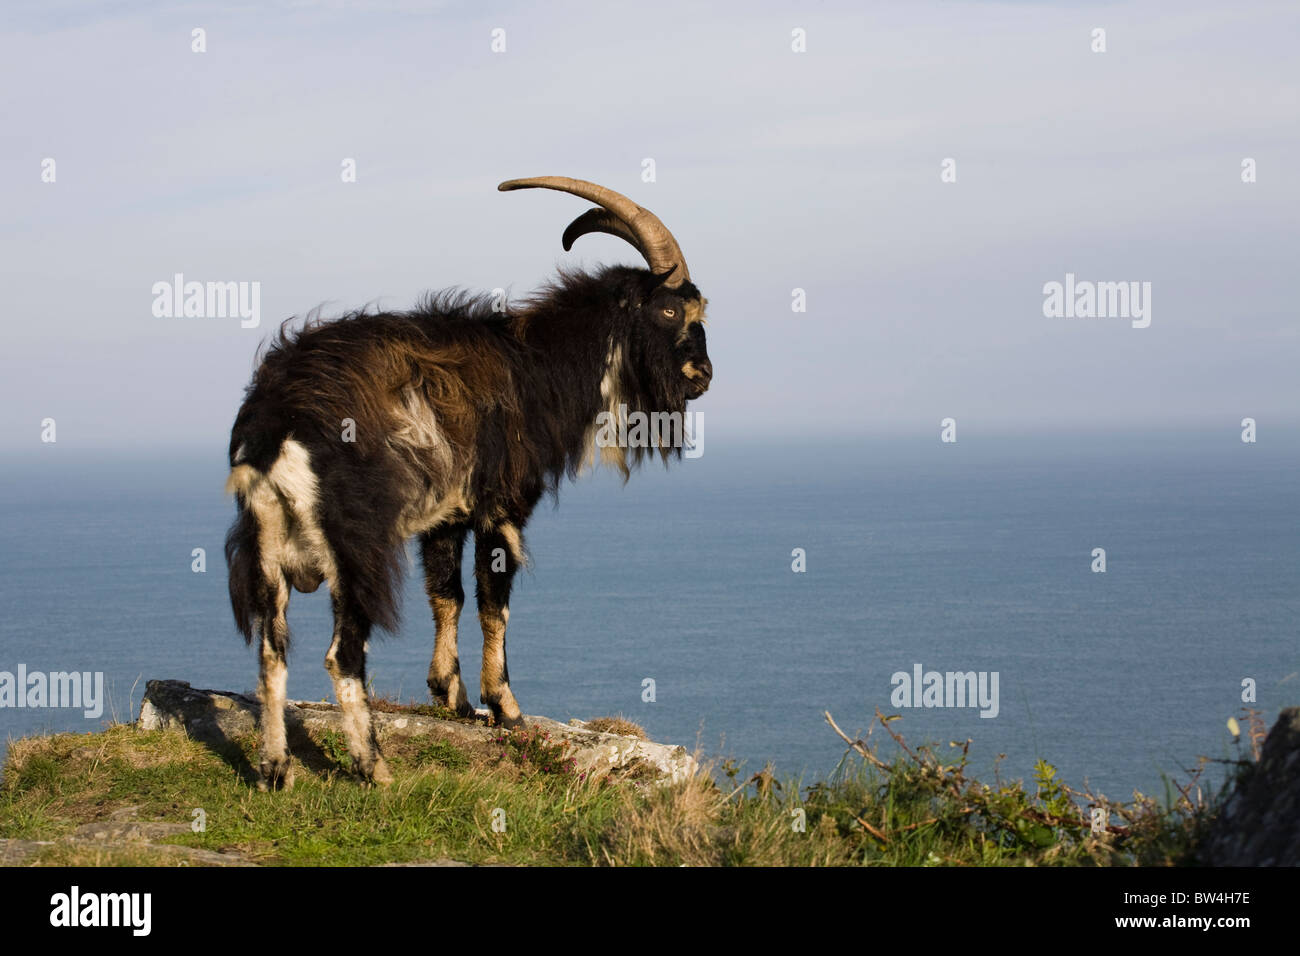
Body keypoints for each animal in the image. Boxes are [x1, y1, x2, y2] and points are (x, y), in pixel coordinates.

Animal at [224, 177, 711, 789]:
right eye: (670, 308)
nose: (703, 376)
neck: (537, 362)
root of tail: (277, 418)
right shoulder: (502, 506)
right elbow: (491, 601)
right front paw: (504, 706)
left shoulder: (446, 514)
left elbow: (446, 594)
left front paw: (450, 697)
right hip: (354, 543)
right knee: (342, 654)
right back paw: (376, 769)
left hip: (265, 540)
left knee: (271, 648)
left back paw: (274, 770)